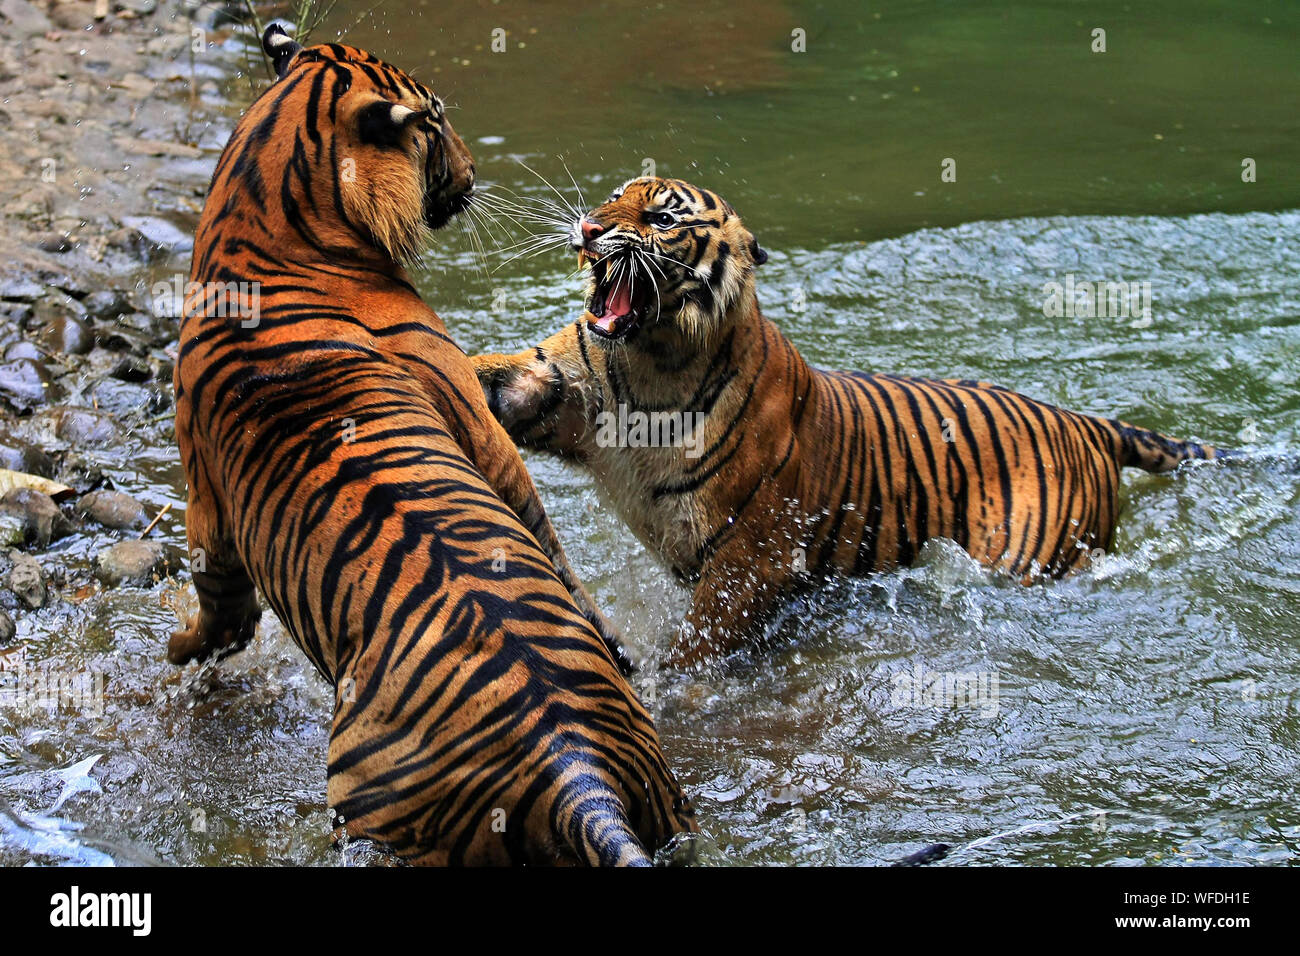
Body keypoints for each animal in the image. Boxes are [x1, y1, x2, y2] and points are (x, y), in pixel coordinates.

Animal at [168, 28, 697, 865]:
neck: (268, 222)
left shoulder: (207, 505)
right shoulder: (474, 420)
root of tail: (576, 773)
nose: (475, 170)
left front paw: (178, 653)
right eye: (436, 123)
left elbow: (220, 610)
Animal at [472, 176, 1229, 667]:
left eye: (662, 219)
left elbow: (698, 647)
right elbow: (496, 378)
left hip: (1026, 556)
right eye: (611, 198)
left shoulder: (750, 559)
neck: (650, 358)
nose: (588, 229)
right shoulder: (559, 388)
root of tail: (1087, 423)